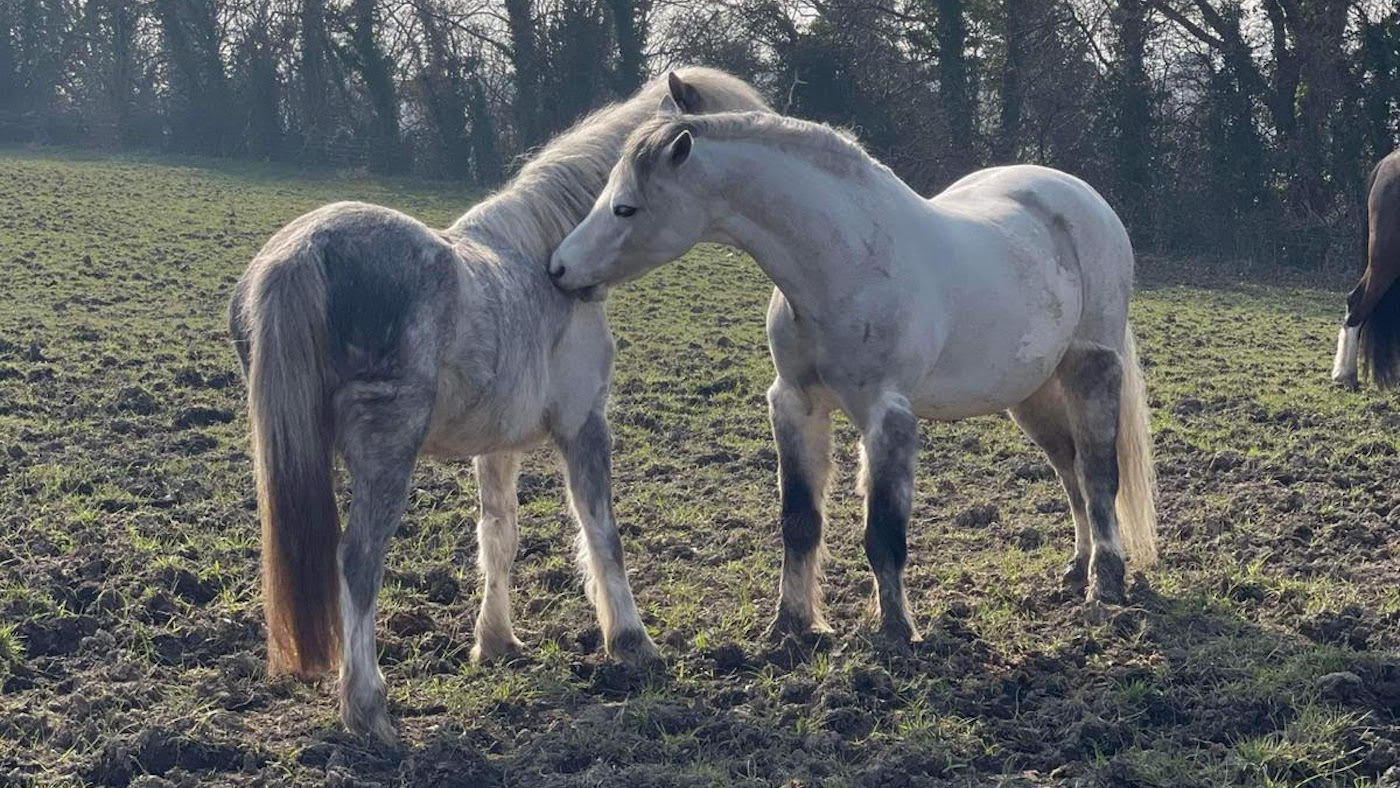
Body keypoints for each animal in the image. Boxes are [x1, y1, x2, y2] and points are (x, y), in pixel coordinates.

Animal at [228, 70, 769, 743]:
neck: (546, 262)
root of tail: (301, 253)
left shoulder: (496, 448)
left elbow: (499, 536)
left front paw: (496, 643)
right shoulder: (585, 427)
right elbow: (602, 533)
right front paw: (631, 642)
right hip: (386, 454)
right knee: (357, 561)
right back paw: (368, 706)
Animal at [549, 110, 1158, 643]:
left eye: (625, 208)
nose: (558, 269)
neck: (844, 260)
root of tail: (1082, 199)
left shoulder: (886, 416)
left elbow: (884, 532)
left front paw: (896, 632)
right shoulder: (795, 405)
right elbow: (799, 520)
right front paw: (791, 626)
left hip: (1090, 369)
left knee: (1098, 475)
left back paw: (1106, 583)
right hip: (1031, 395)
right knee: (1070, 473)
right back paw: (1077, 569)